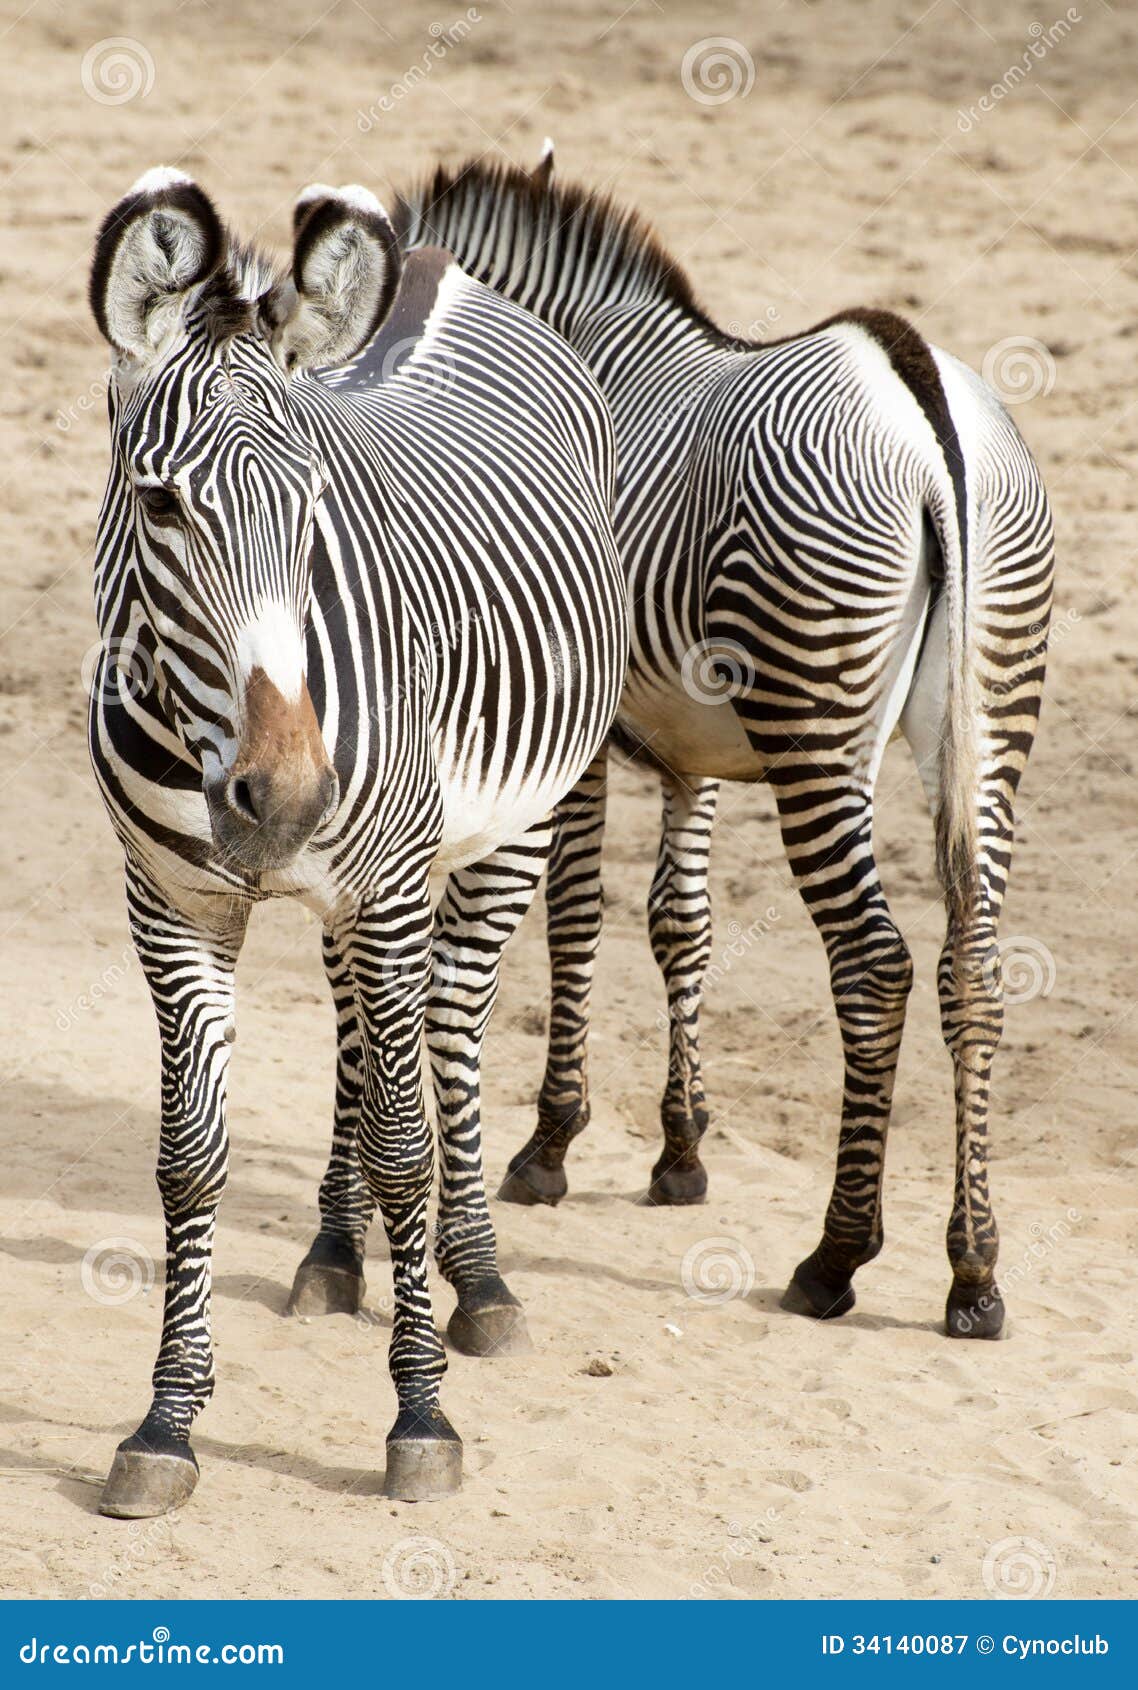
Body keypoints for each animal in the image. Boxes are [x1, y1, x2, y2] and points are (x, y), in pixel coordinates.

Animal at [87, 167, 627, 1516]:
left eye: (316, 501)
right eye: (162, 504)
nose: (281, 794)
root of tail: (436, 264)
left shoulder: (387, 889)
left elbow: (404, 1147)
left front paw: (420, 1414)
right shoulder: (173, 904)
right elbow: (192, 1158)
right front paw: (166, 1422)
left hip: (506, 832)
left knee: (448, 1035)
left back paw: (476, 1278)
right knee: (354, 1033)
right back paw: (335, 1252)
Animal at [358, 149, 1051, 1342]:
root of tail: (923, 407)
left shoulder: (583, 742)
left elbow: (578, 917)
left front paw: (551, 1143)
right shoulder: (698, 755)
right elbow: (680, 925)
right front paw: (680, 1149)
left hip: (817, 732)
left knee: (874, 965)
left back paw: (835, 1256)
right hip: (990, 719)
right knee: (975, 967)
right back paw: (974, 1272)